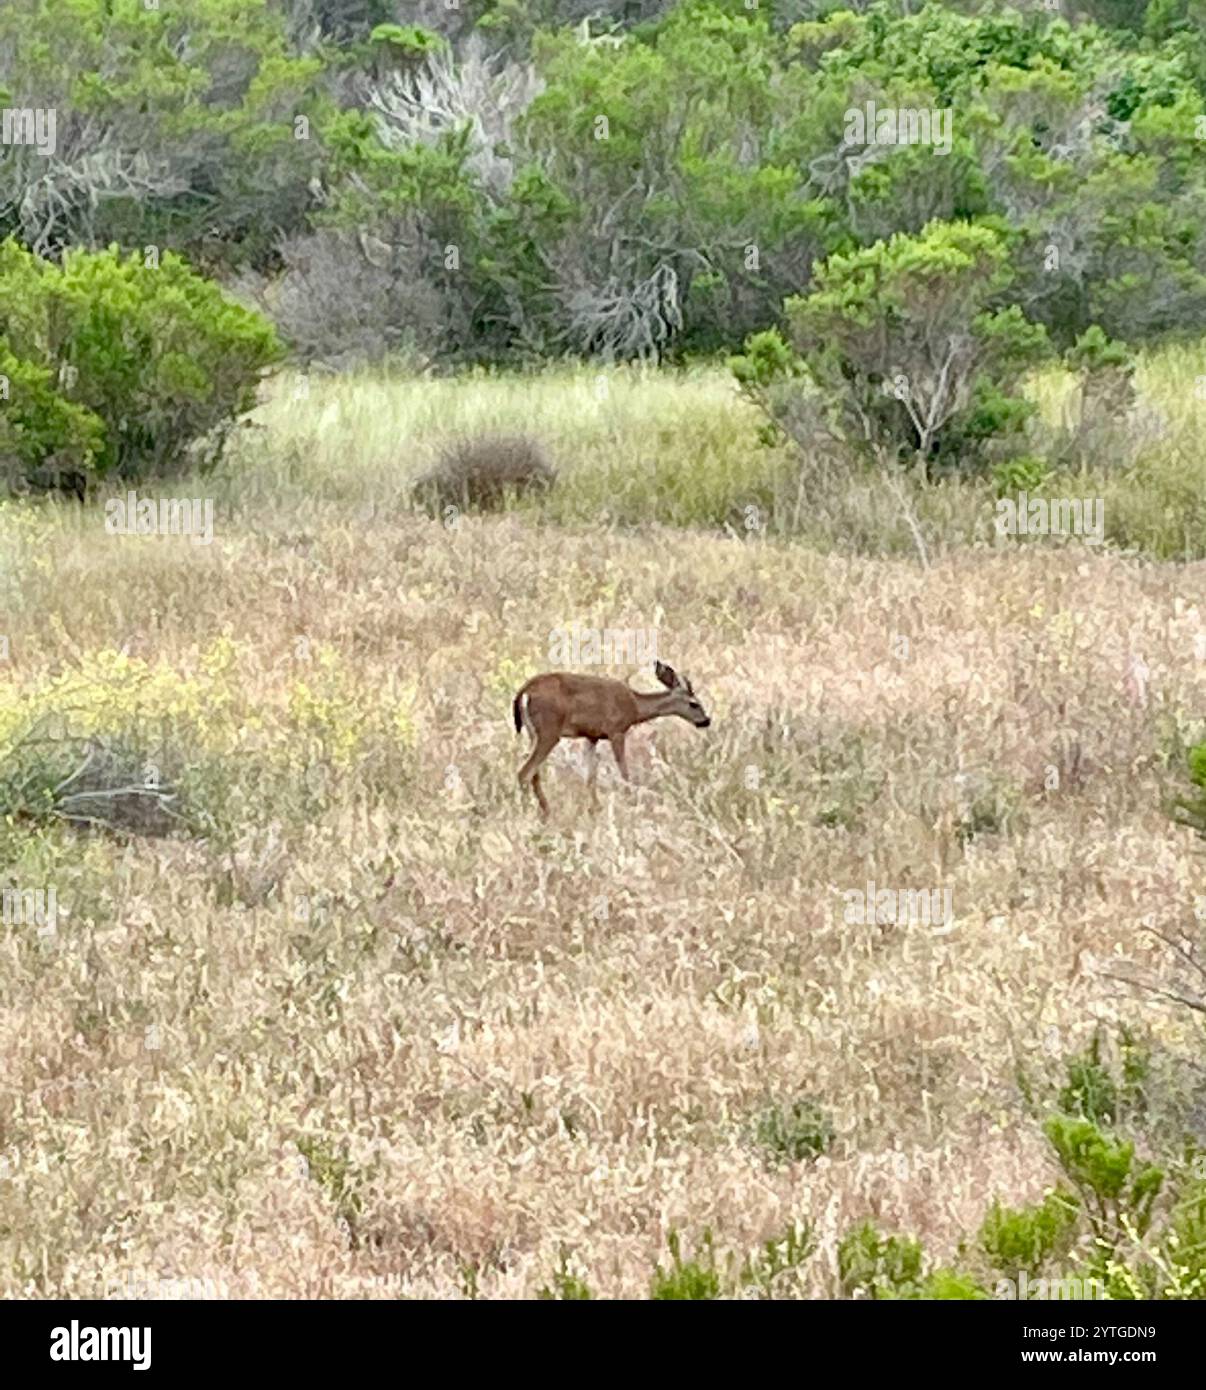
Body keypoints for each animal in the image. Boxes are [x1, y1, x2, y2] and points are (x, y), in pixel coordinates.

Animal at [512, 660, 711, 816]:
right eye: (694, 704)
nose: (706, 720)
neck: (635, 706)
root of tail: (524, 692)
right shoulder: (616, 731)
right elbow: (624, 771)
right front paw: (631, 803)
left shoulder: (591, 736)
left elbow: (590, 776)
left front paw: (594, 809)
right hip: (549, 731)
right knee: (524, 772)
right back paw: (530, 812)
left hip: (533, 733)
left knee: (533, 772)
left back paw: (545, 811)